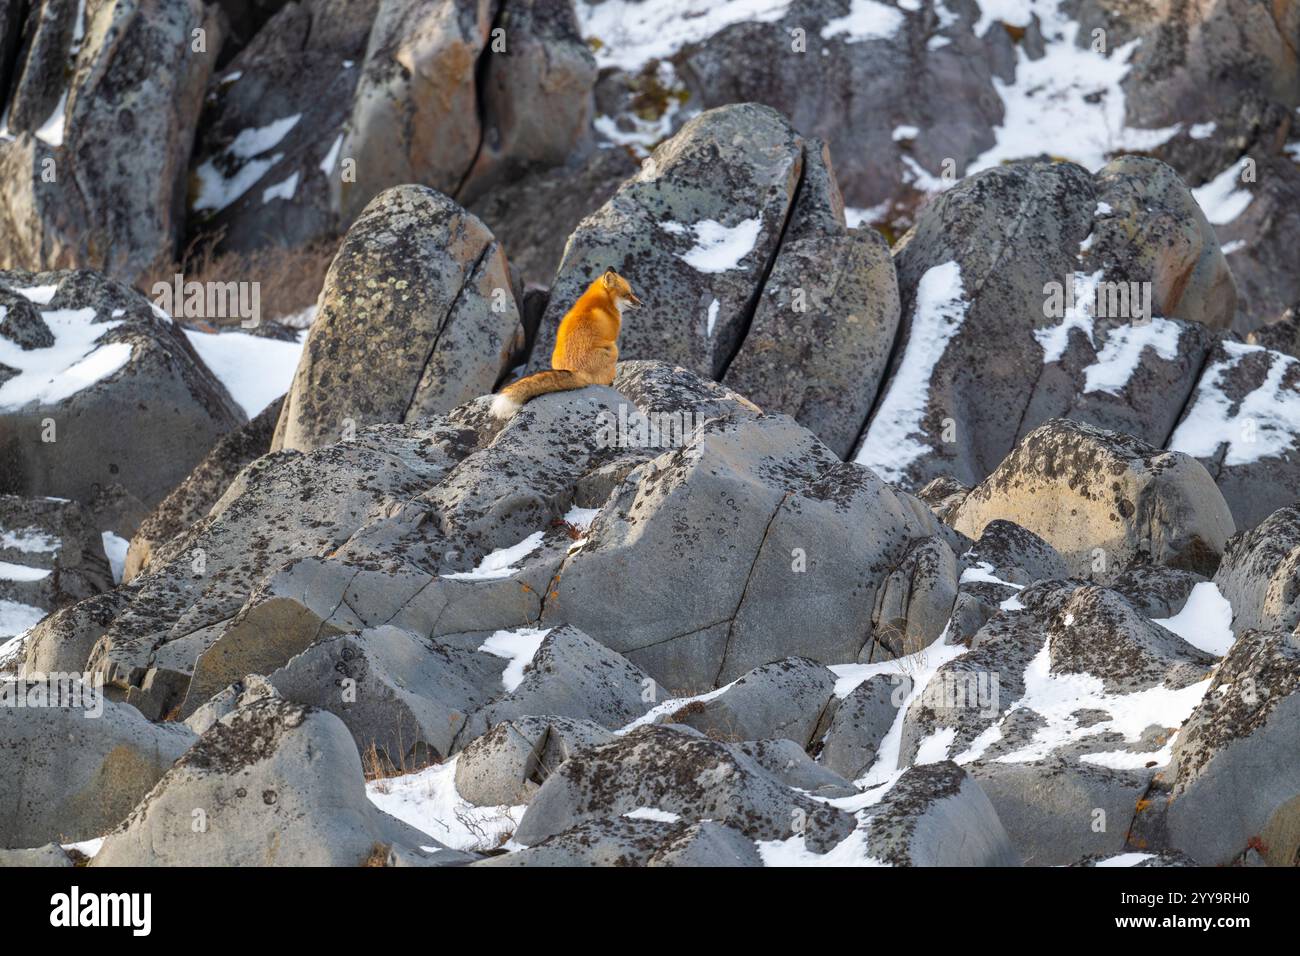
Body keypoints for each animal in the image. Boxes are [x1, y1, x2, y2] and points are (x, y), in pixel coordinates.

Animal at [490, 268, 642, 420]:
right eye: (628, 294)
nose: (642, 304)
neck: (600, 302)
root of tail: (575, 371)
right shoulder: (611, 338)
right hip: (613, 349)